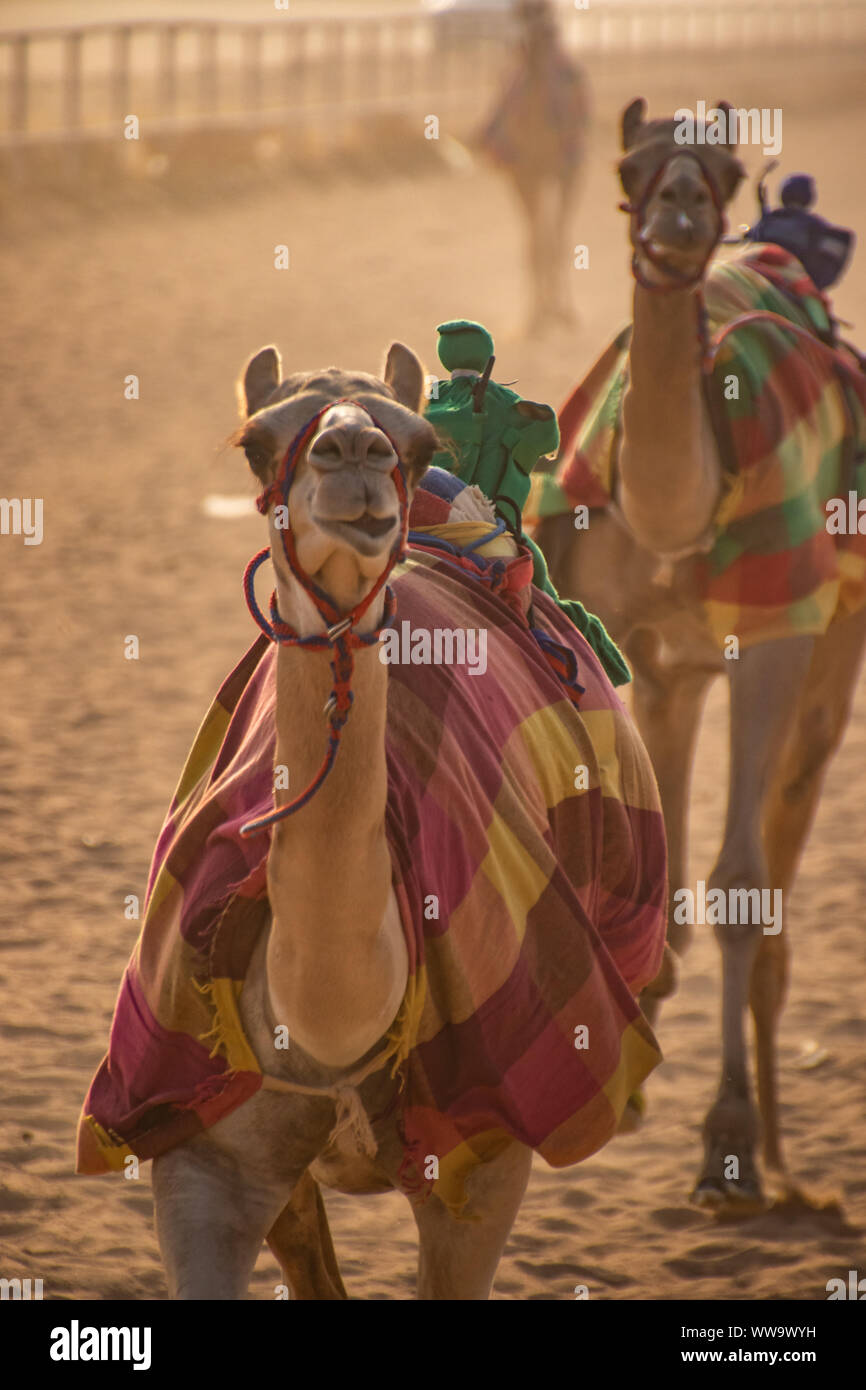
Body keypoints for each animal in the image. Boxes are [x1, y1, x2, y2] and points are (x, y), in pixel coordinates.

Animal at [130, 340, 667, 1299]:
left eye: (415, 444)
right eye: (255, 442)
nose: (354, 455)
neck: (330, 1033)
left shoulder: (486, 1157)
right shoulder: (199, 1151)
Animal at [476, 0, 590, 332]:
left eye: (545, 9)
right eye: (517, 9)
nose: (544, 33)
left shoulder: (568, 174)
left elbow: (560, 240)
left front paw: (566, 312)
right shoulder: (523, 176)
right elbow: (535, 244)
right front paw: (534, 318)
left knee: (553, 233)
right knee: (539, 234)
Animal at [534, 98, 866, 1210]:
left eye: (718, 172)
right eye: (629, 163)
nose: (677, 208)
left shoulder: (771, 640)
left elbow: (734, 885)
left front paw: (726, 1138)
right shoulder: (618, 641)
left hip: (829, 647)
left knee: (779, 852)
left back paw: (776, 1151)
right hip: (674, 677)